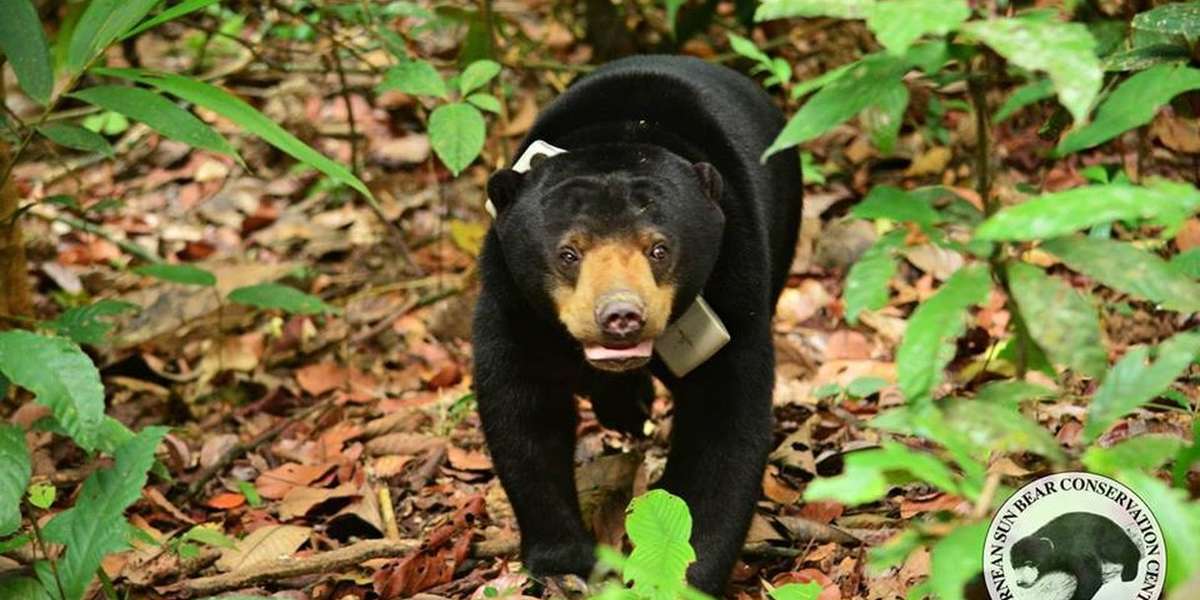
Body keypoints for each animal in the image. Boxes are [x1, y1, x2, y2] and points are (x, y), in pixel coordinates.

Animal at [473, 54, 801, 595]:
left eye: (659, 249)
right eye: (568, 253)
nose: (621, 316)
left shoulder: (737, 285)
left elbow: (725, 420)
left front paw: (682, 576)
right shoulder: (512, 300)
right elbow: (522, 410)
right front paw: (562, 562)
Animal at [1010, 512, 1142, 600]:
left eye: (1030, 563)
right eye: (1014, 567)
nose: (1019, 582)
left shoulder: (1076, 551)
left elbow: (1091, 578)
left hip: (1107, 537)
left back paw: (1129, 571)